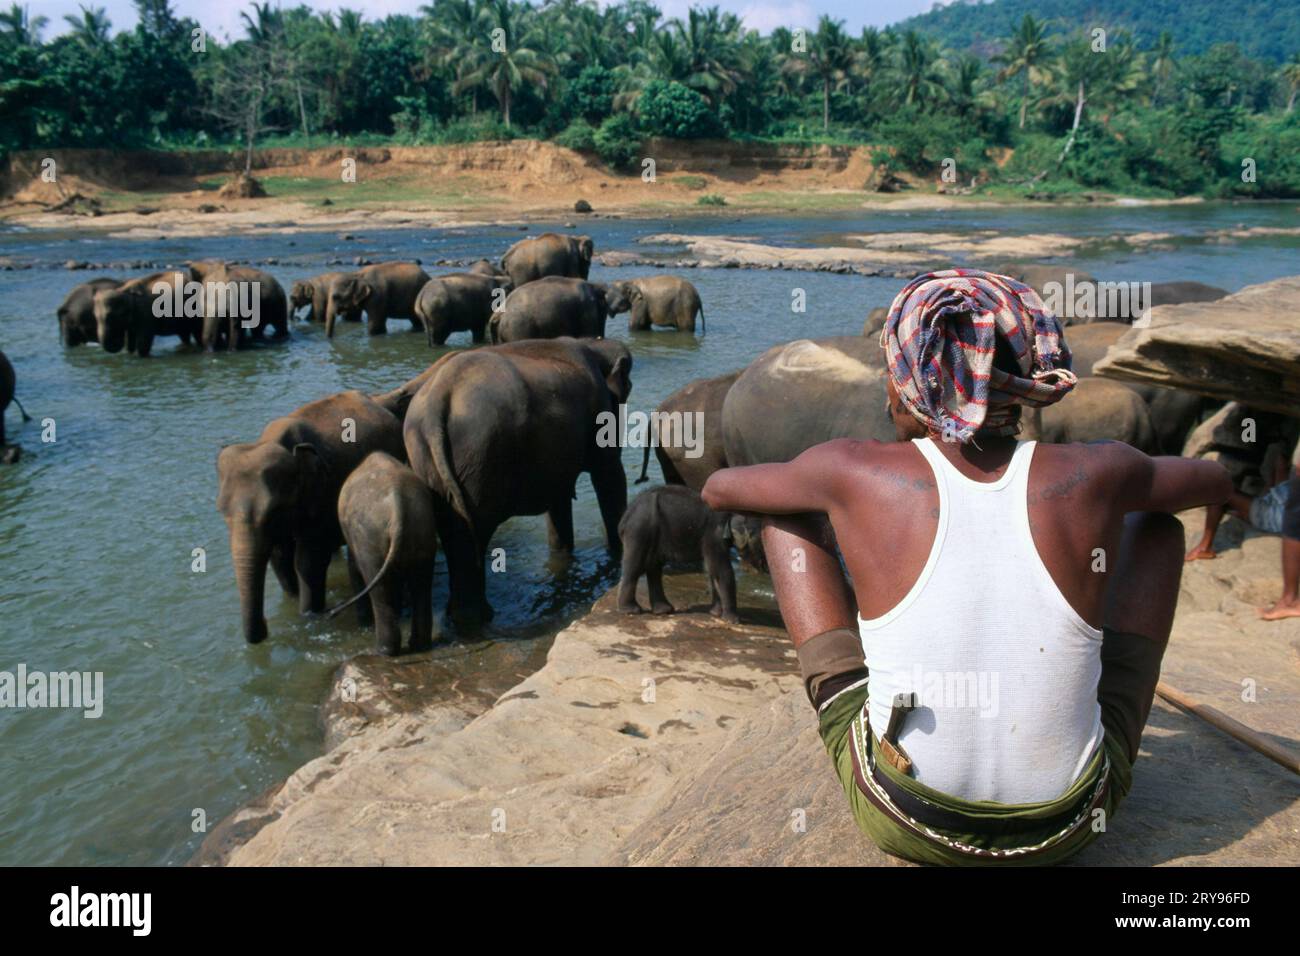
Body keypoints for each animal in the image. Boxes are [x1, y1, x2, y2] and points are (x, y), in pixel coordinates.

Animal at [216, 390, 407, 644]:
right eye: (221, 511)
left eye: (273, 510)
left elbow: (308, 562)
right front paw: (291, 601)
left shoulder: (320, 494)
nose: (265, 628)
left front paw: (307, 615)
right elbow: (279, 558)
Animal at [329, 451, 438, 656]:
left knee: (378, 591)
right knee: (421, 584)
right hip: (423, 529)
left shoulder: (355, 541)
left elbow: (355, 572)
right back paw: (419, 645)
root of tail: (397, 503)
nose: (332, 613)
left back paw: (383, 651)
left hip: (369, 538)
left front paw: (364, 625)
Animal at [402, 337, 632, 625]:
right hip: (480, 458)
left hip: (427, 457)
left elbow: (559, 495)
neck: (592, 344)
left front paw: (562, 560)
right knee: (474, 532)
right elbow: (609, 475)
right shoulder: (599, 410)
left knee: (455, 531)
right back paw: (478, 618)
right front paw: (619, 555)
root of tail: (436, 402)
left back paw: (464, 618)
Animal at [488, 277, 630, 344]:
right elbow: (591, 334)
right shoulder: (588, 311)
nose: (628, 303)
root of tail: (498, 315)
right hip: (517, 328)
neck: (595, 286)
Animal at [617, 484, 737, 623]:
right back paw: (631, 611)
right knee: (635, 567)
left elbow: (712, 568)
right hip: (639, 530)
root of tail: (625, 516)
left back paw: (664, 610)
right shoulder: (715, 534)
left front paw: (715, 614)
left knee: (653, 567)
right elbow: (721, 570)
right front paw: (732, 620)